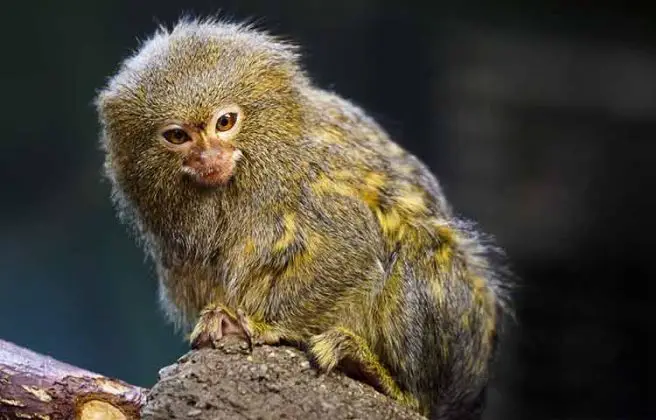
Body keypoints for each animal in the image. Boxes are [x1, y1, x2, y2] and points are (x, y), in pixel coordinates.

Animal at [95, 17, 512, 420]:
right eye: (178, 136)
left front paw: (263, 324)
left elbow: (351, 251)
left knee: (420, 252)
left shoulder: (315, 185)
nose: (209, 157)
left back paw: (382, 377)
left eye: (225, 122)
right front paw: (222, 316)